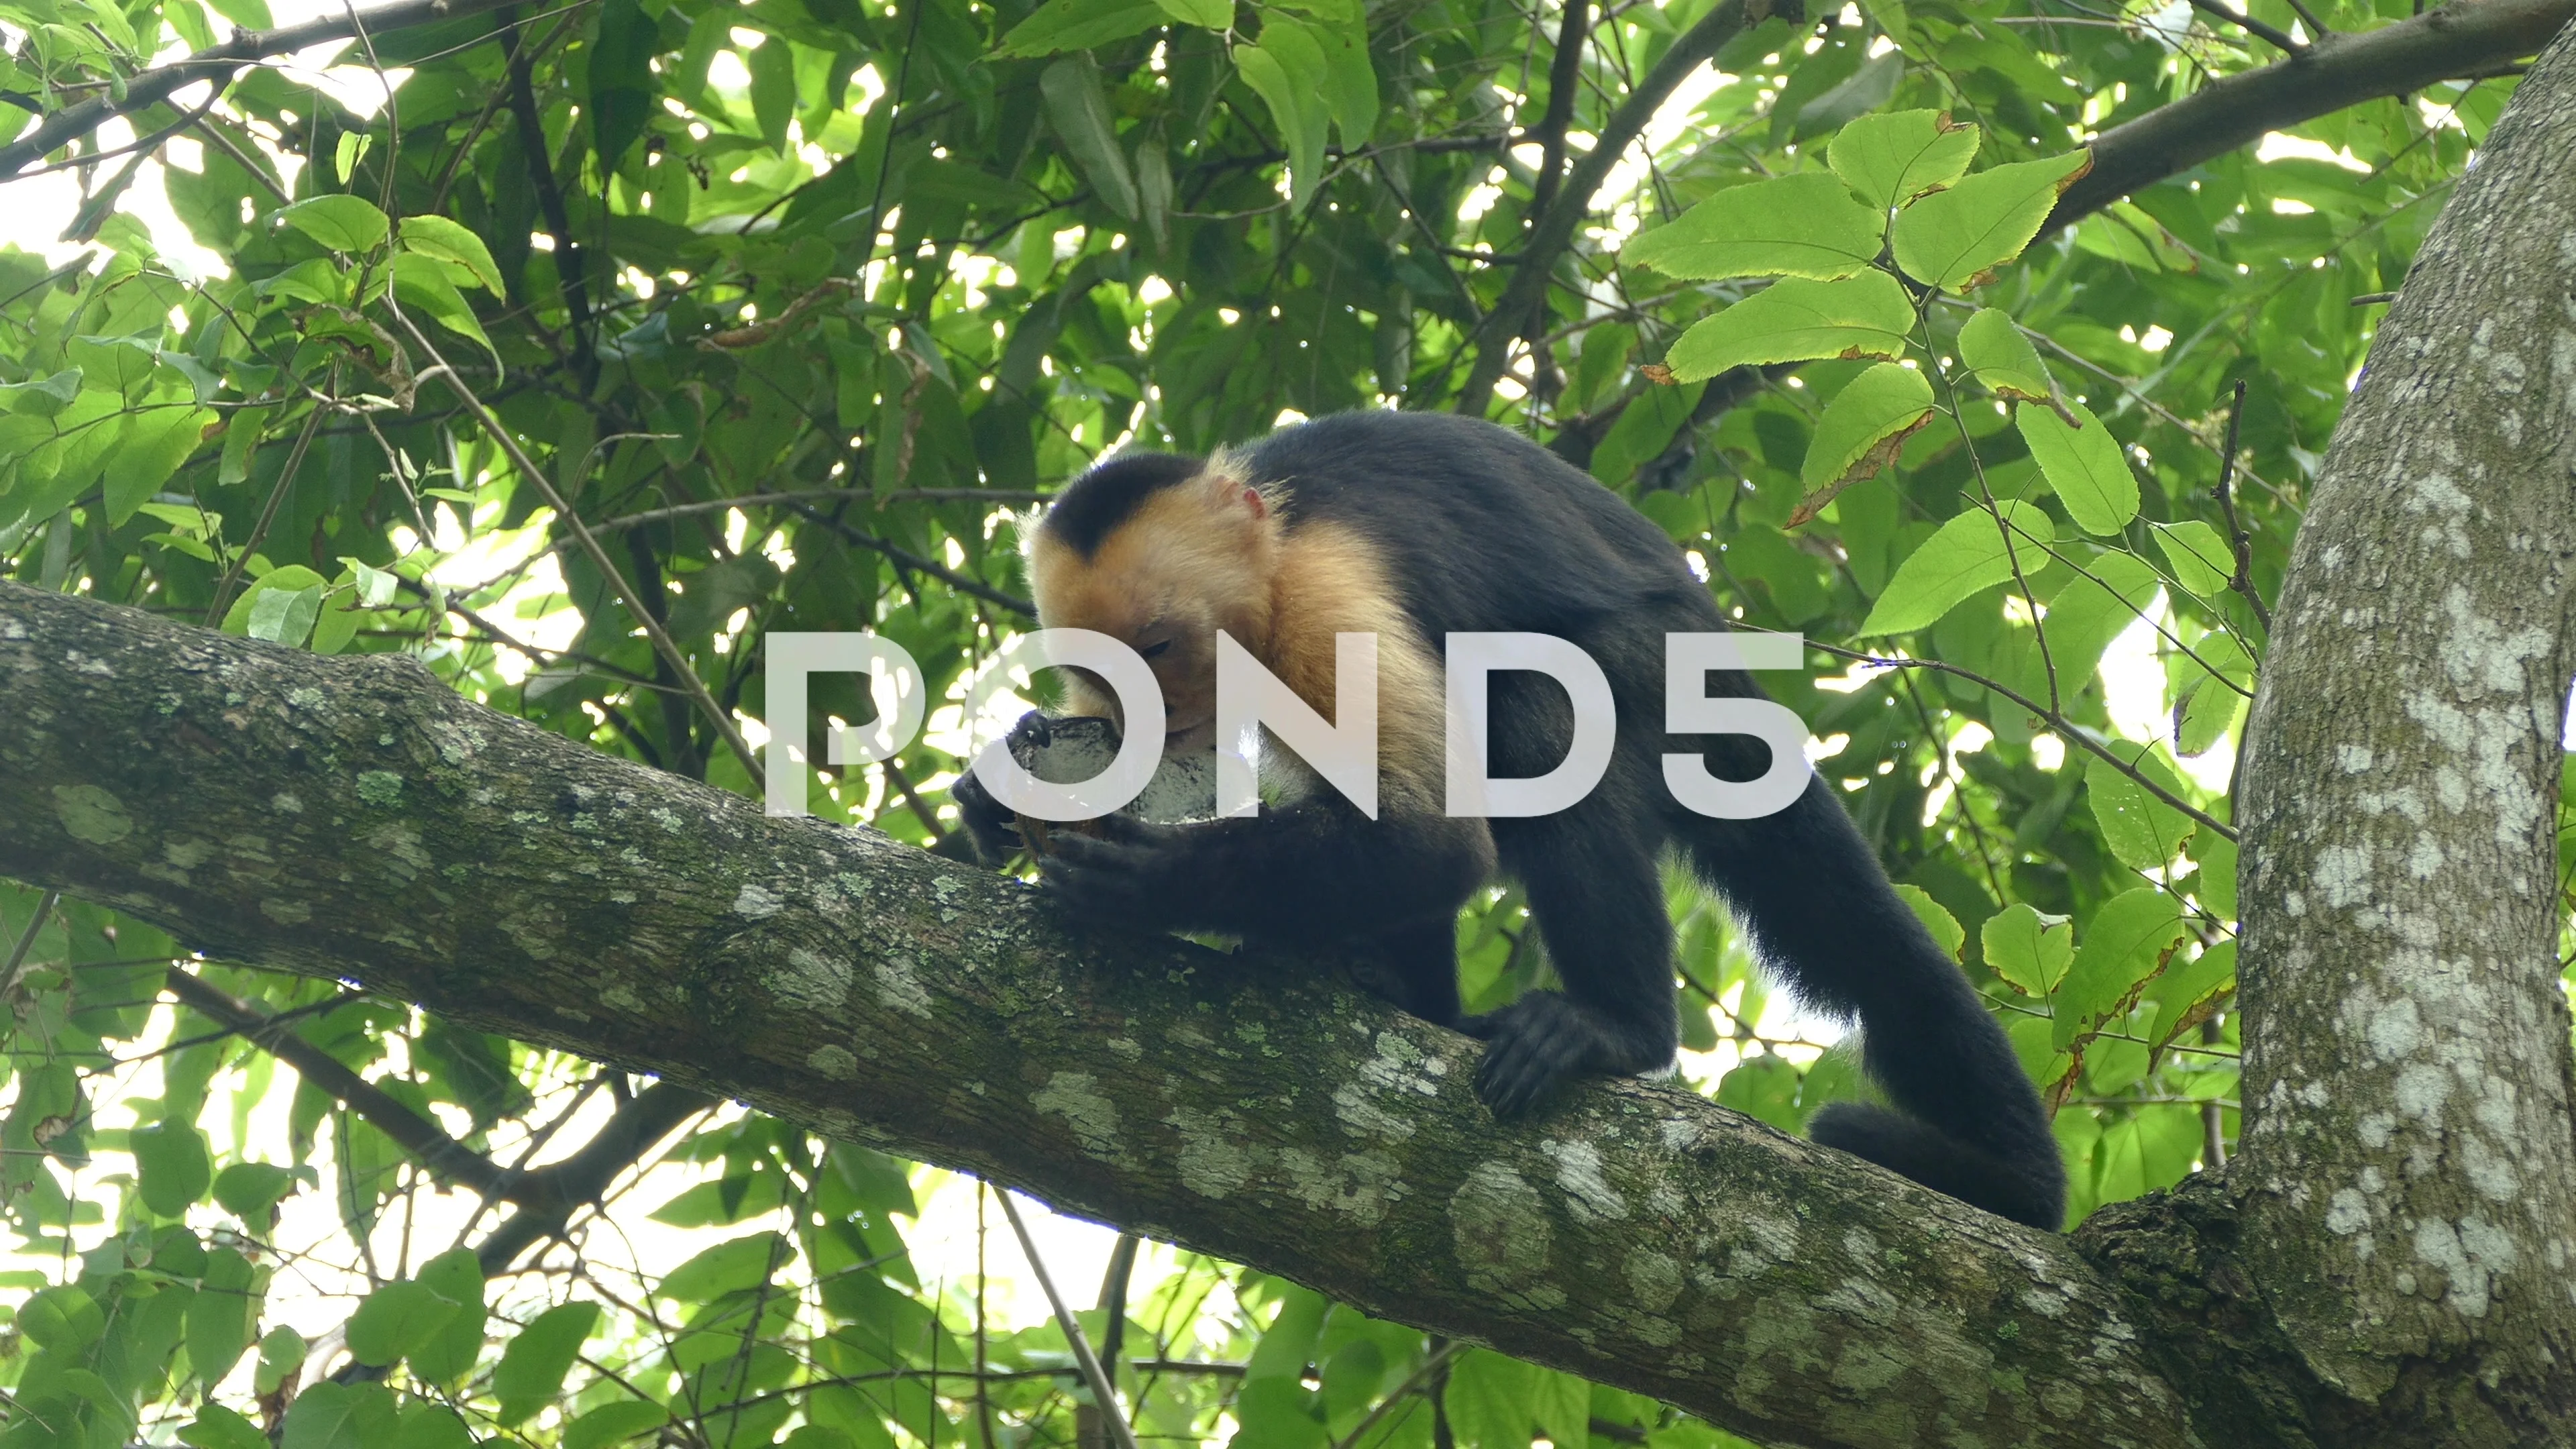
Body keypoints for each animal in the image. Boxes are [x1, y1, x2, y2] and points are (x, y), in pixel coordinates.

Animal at [953, 409, 2065, 1230]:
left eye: (1161, 643)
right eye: (1107, 672)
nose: (1156, 707)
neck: (1268, 559)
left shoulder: (1321, 593)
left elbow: (1432, 839)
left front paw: (1146, 885)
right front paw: (1000, 797)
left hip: (1658, 673)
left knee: (1537, 710)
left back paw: (1616, 1027)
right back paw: (1407, 996)